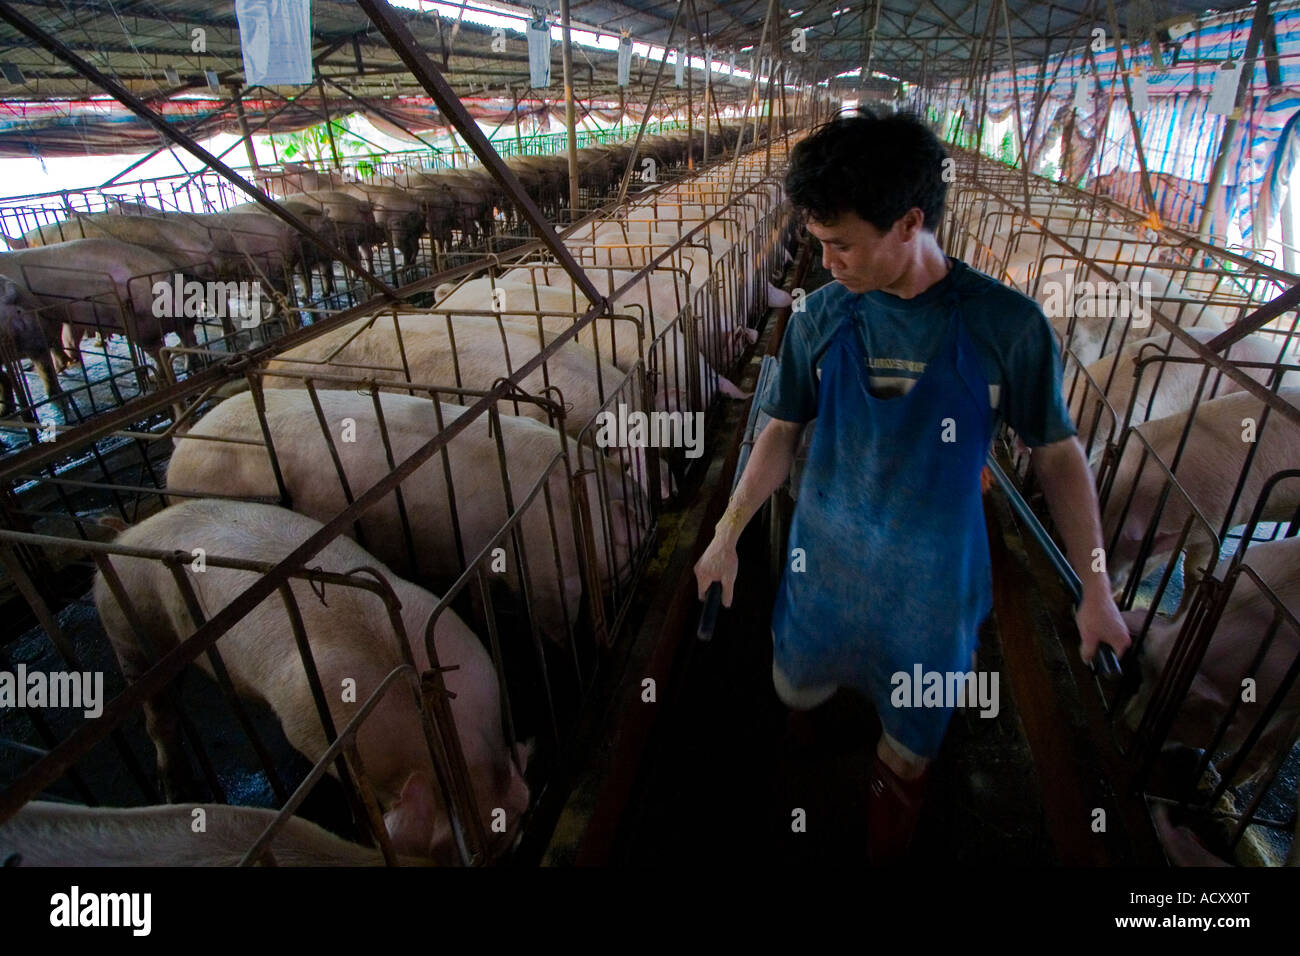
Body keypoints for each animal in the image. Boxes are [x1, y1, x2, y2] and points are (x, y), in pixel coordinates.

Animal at [91, 496, 530, 863]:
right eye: (446, 856)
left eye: (512, 842)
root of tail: (127, 533)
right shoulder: (311, 732)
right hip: (126, 629)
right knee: (157, 710)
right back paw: (176, 789)